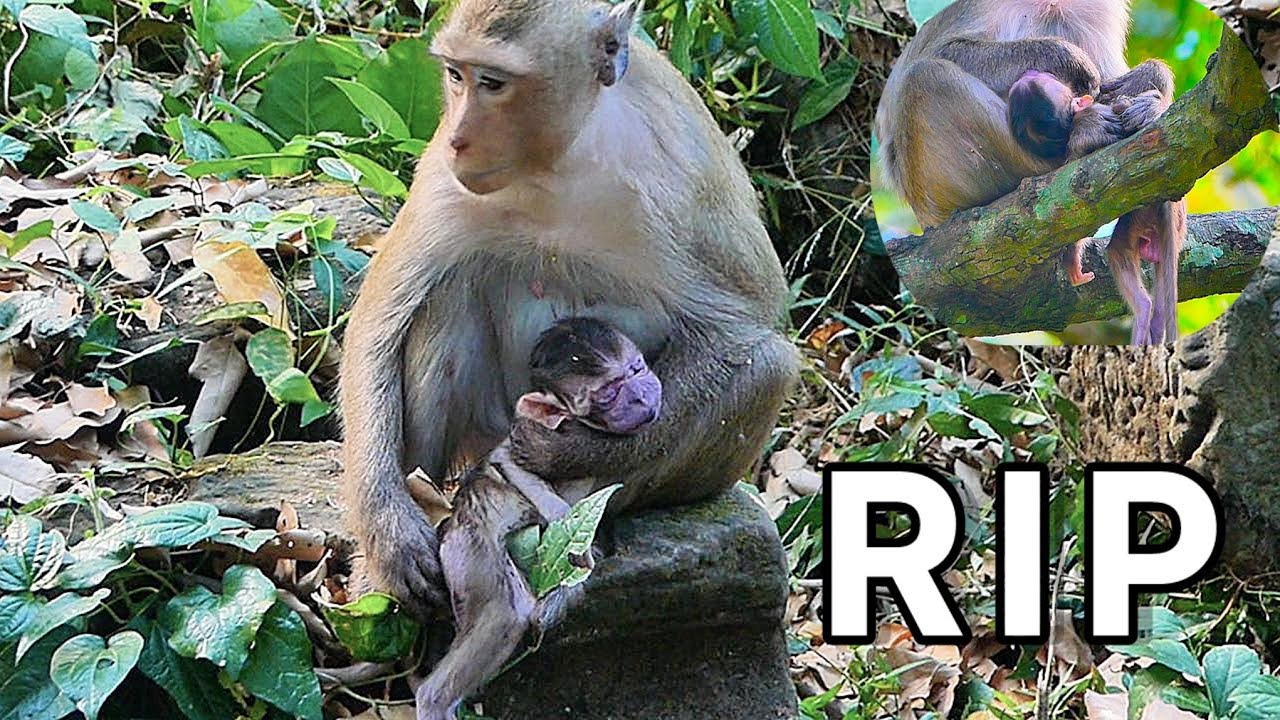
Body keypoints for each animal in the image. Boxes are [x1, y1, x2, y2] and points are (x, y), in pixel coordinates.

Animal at [339, 0, 796, 669]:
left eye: (493, 82)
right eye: (455, 74)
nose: (458, 137)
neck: (561, 158)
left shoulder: (675, 189)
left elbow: (748, 339)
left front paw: (563, 451)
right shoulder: (449, 181)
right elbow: (381, 321)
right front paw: (388, 532)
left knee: (762, 372)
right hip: (481, 429)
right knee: (446, 298)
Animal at [417, 317, 664, 720]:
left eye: (636, 369)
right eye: (607, 394)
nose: (642, 399)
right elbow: (509, 463)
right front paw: (569, 528)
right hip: (469, 551)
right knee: (502, 614)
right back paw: (432, 700)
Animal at [875, 0, 1186, 343]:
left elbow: (1113, 81)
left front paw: (1148, 90)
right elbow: (941, 51)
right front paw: (1062, 56)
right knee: (924, 76)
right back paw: (1079, 143)